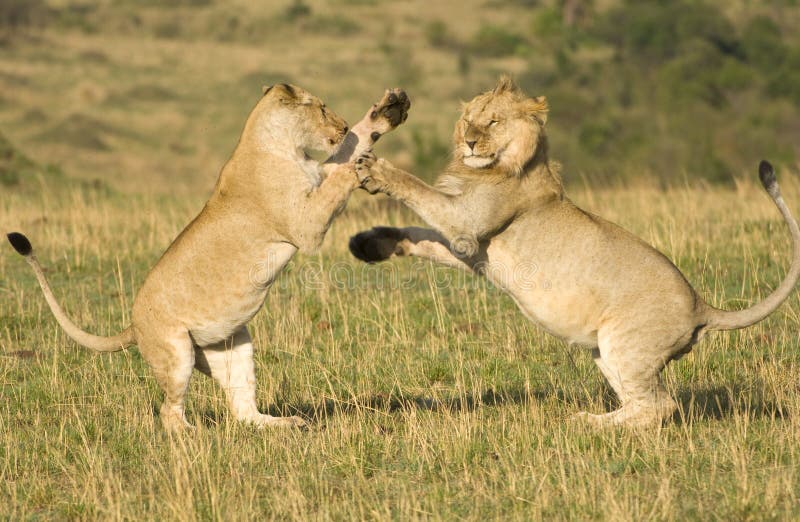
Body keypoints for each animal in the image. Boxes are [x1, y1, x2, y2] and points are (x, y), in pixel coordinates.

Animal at [7, 84, 410, 431]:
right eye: (322, 108)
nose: (339, 125)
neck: (283, 146)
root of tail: (133, 326)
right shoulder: (306, 224)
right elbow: (342, 171)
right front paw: (364, 163)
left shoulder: (316, 178)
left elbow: (349, 149)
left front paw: (385, 113)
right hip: (177, 352)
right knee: (169, 411)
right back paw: (194, 434)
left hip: (233, 347)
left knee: (243, 410)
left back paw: (283, 424)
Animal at [349, 77, 800, 427]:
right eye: (468, 119)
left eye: (493, 120)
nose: (471, 142)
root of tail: (701, 307)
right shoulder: (471, 250)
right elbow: (422, 234)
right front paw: (370, 242)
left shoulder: (466, 225)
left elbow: (418, 189)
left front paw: (375, 167)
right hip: (606, 351)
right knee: (642, 404)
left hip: (625, 344)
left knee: (660, 406)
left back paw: (584, 424)